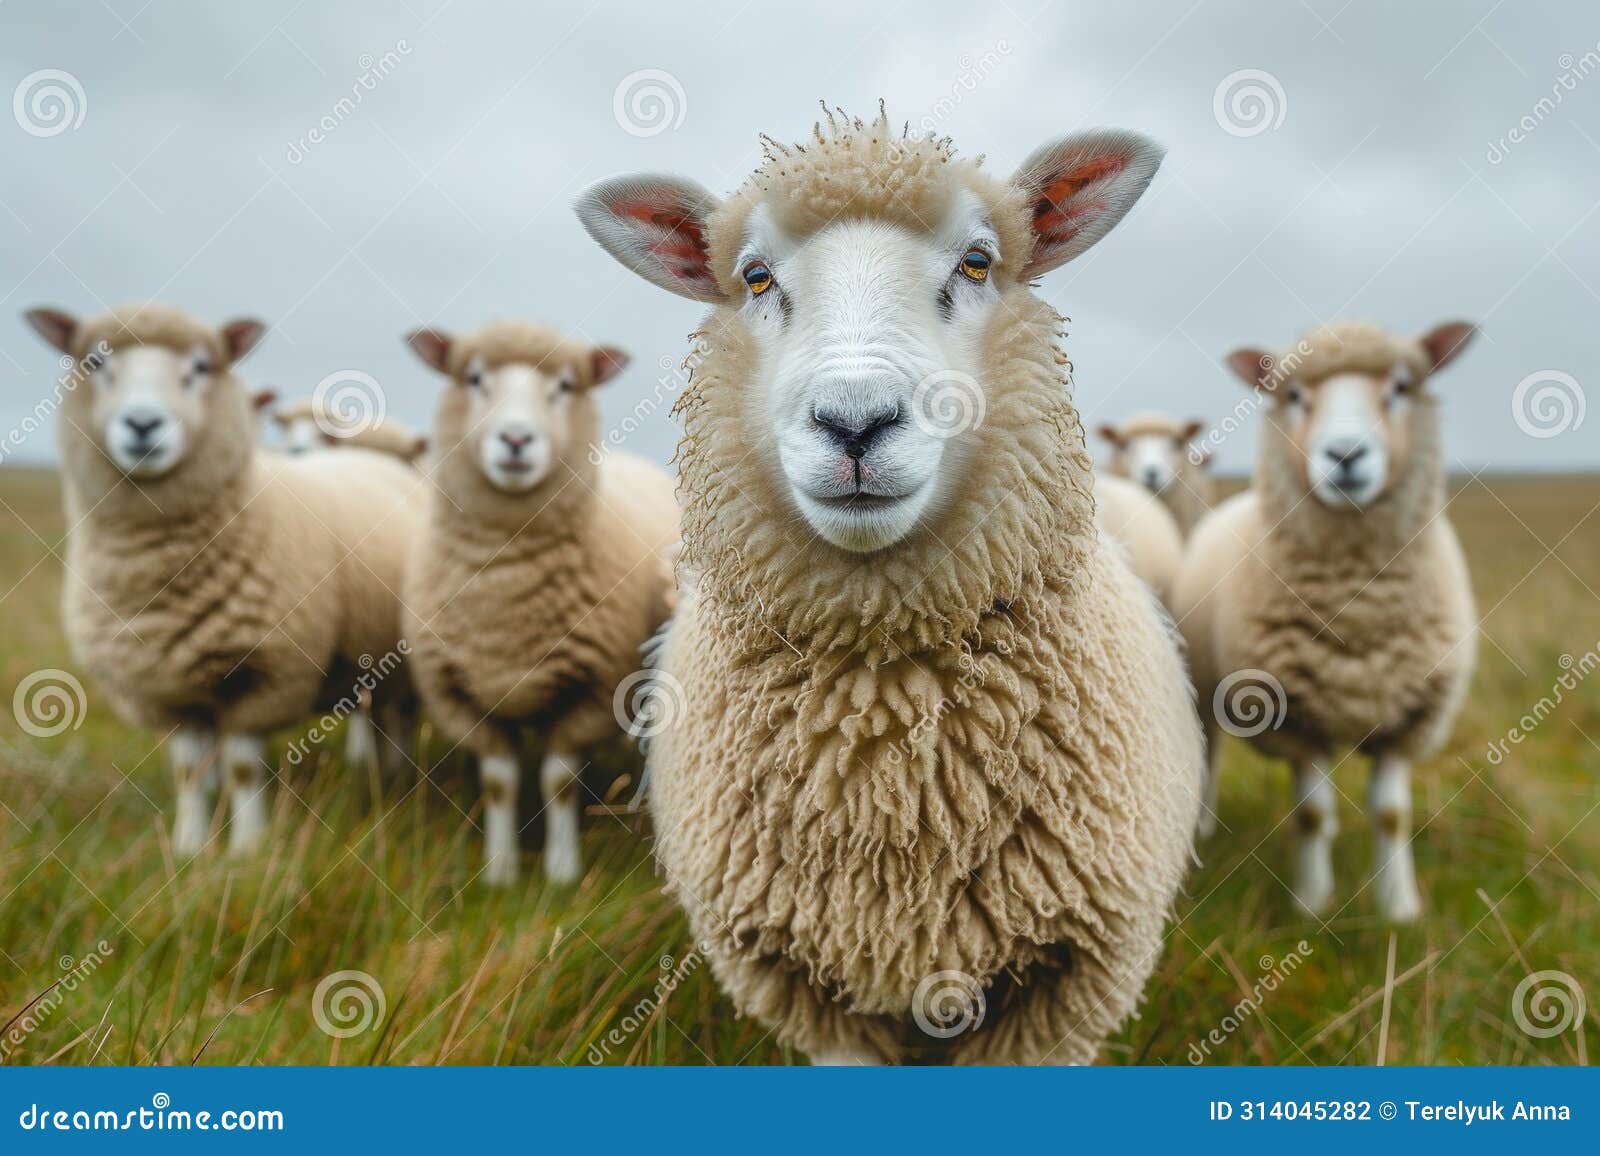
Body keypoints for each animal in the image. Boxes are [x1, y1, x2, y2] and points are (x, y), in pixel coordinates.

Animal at [400, 320, 678, 886]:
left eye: (566, 386)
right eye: (474, 377)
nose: (515, 439)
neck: (506, 595)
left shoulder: (588, 692)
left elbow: (560, 783)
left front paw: (563, 870)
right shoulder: (463, 698)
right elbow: (498, 784)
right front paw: (501, 870)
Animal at [1171, 320, 1478, 922]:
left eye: (1401, 387)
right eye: (1294, 396)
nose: (1345, 454)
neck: (1356, 603)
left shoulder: (1409, 717)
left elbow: (1391, 817)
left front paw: (1399, 909)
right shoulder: (1295, 718)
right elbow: (1311, 817)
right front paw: (1312, 906)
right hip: (1203, 681)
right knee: (1208, 753)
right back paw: (1204, 826)